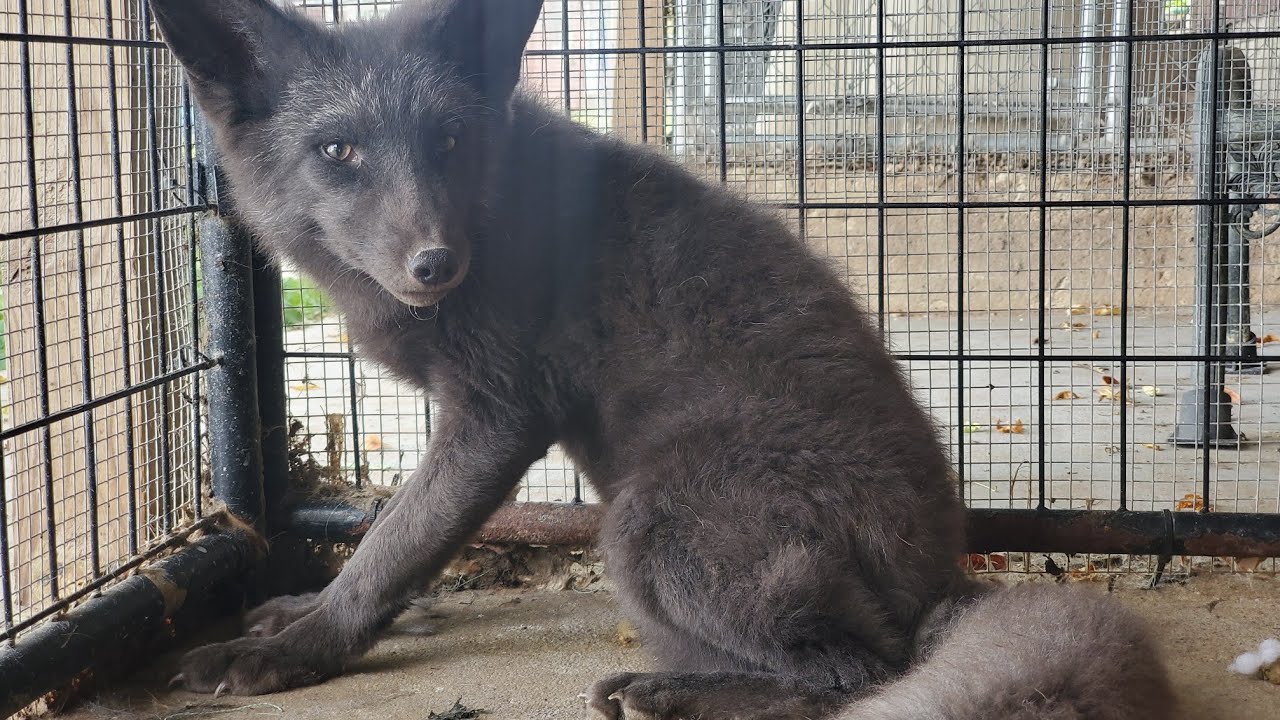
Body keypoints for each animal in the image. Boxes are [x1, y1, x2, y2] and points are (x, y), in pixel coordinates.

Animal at [150, 0, 1177, 717]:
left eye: (448, 138)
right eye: (337, 150)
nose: (436, 263)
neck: (493, 200)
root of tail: (942, 580)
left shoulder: (494, 418)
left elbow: (391, 549)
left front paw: (297, 649)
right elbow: (392, 547)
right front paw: (297, 611)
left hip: (649, 523)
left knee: (863, 675)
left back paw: (671, 693)